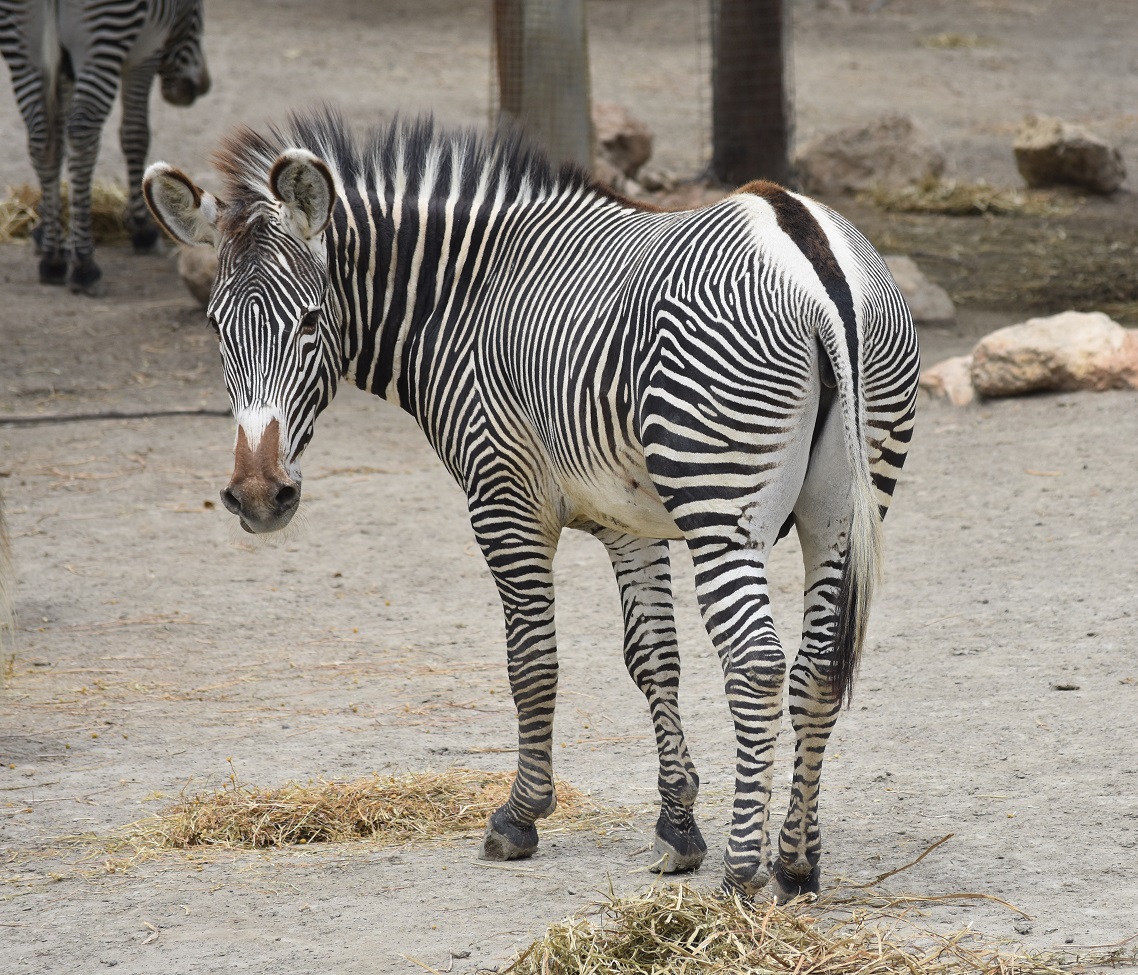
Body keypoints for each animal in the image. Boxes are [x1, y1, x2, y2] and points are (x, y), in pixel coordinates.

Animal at [0, 0, 209, 295]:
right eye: (198, 14)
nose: (203, 85)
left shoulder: (64, 68)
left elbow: (58, 132)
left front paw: (47, 231)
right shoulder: (146, 52)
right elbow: (135, 134)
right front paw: (142, 228)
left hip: (21, 47)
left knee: (41, 140)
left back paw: (53, 259)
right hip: (106, 32)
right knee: (82, 135)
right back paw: (84, 266)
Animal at [142, 110, 920, 899]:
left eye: (307, 321)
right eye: (216, 327)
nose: (259, 495)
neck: (463, 299)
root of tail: (806, 245)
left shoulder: (503, 499)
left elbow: (532, 660)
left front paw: (520, 817)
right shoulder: (629, 520)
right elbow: (653, 658)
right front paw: (677, 828)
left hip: (721, 509)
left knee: (757, 663)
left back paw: (740, 874)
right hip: (844, 511)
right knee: (817, 667)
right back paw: (795, 860)